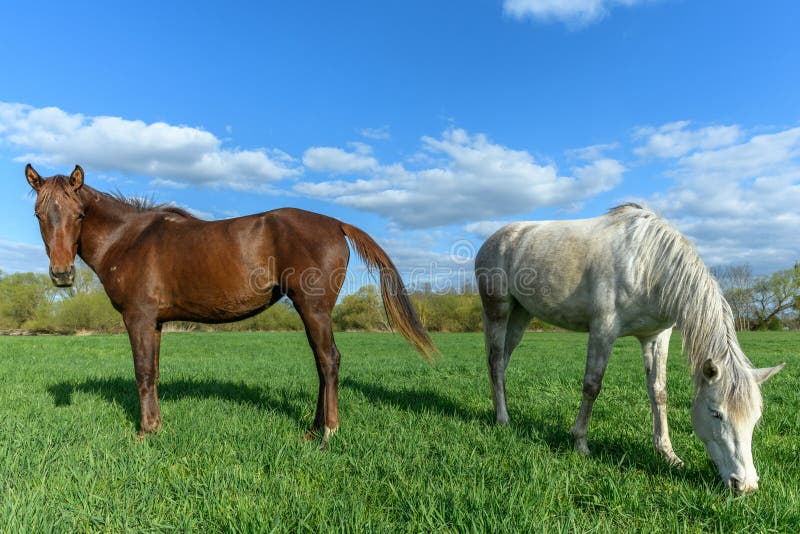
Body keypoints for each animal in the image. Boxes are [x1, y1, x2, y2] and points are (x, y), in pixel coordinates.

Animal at [25, 164, 438, 448]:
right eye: (39, 215)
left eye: (79, 214)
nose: (61, 274)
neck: (129, 239)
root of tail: (336, 223)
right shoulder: (154, 323)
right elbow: (153, 373)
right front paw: (156, 427)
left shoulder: (137, 319)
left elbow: (142, 373)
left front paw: (143, 433)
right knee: (323, 366)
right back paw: (312, 429)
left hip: (314, 308)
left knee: (329, 361)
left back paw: (327, 433)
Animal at [475, 204, 784, 494]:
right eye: (716, 413)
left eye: (755, 419)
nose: (744, 484)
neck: (648, 263)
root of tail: (492, 241)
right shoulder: (604, 329)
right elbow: (592, 386)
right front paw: (580, 444)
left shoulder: (656, 337)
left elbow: (658, 392)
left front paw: (668, 454)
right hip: (498, 311)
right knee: (495, 362)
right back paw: (503, 420)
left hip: (521, 315)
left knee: (502, 362)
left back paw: (502, 411)